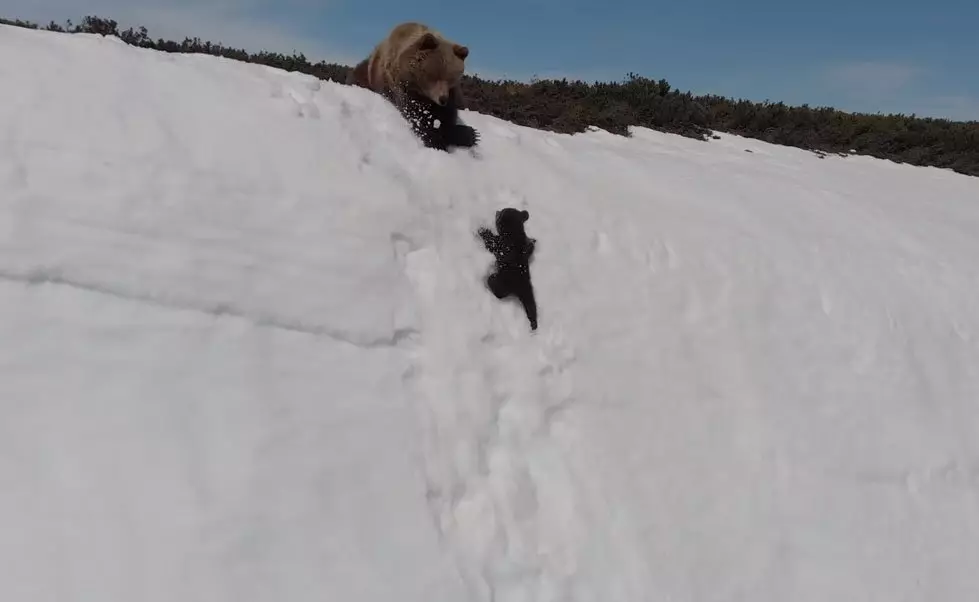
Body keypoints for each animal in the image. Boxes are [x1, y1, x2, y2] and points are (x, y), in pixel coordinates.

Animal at [346, 21, 480, 152]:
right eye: (435, 75)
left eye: (451, 78)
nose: (442, 99)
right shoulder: (403, 87)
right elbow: (416, 115)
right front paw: (436, 141)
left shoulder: (450, 92)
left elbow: (448, 113)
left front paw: (469, 134)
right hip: (370, 72)